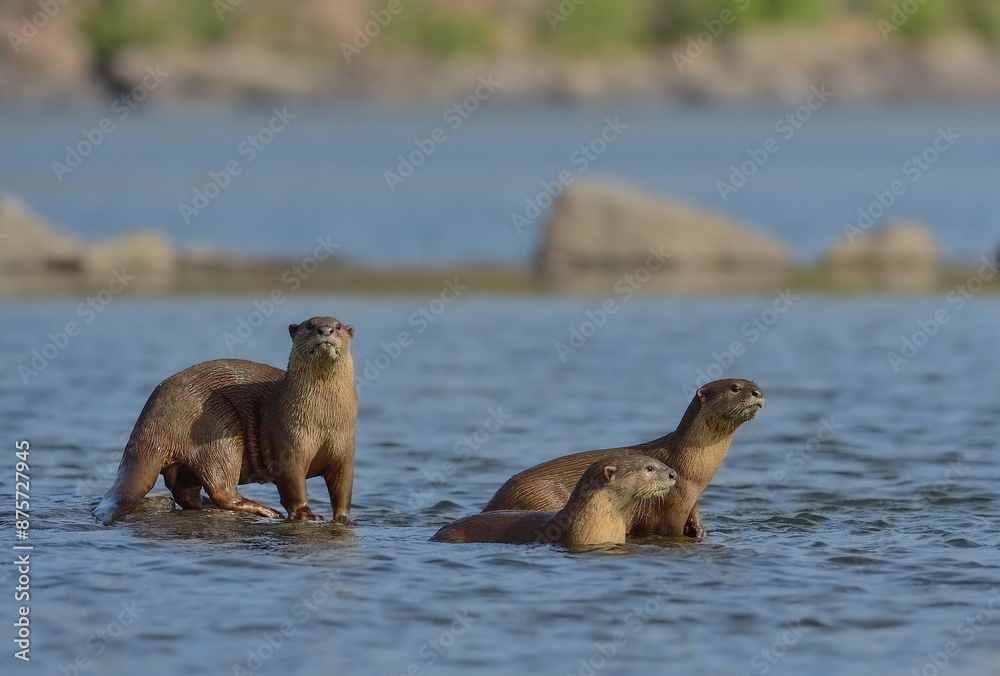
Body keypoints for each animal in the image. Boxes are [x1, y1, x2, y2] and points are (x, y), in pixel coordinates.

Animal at [94, 317, 357, 526]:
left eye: (338, 326)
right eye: (309, 325)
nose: (325, 330)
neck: (323, 422)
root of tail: (153, 419)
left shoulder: (344, 450)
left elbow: (343, 486)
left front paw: (344, 518)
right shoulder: (288, 444)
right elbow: (293, 484)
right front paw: (307, 514)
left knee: (186, 493)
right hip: (219, 429)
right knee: (222, 490)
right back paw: (265, 510)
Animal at [482, 379, 763, 538]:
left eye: (754, 383)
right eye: (735, 388)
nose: (759, 392)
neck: (692, 469)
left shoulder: (690, 500)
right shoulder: (669, 510)